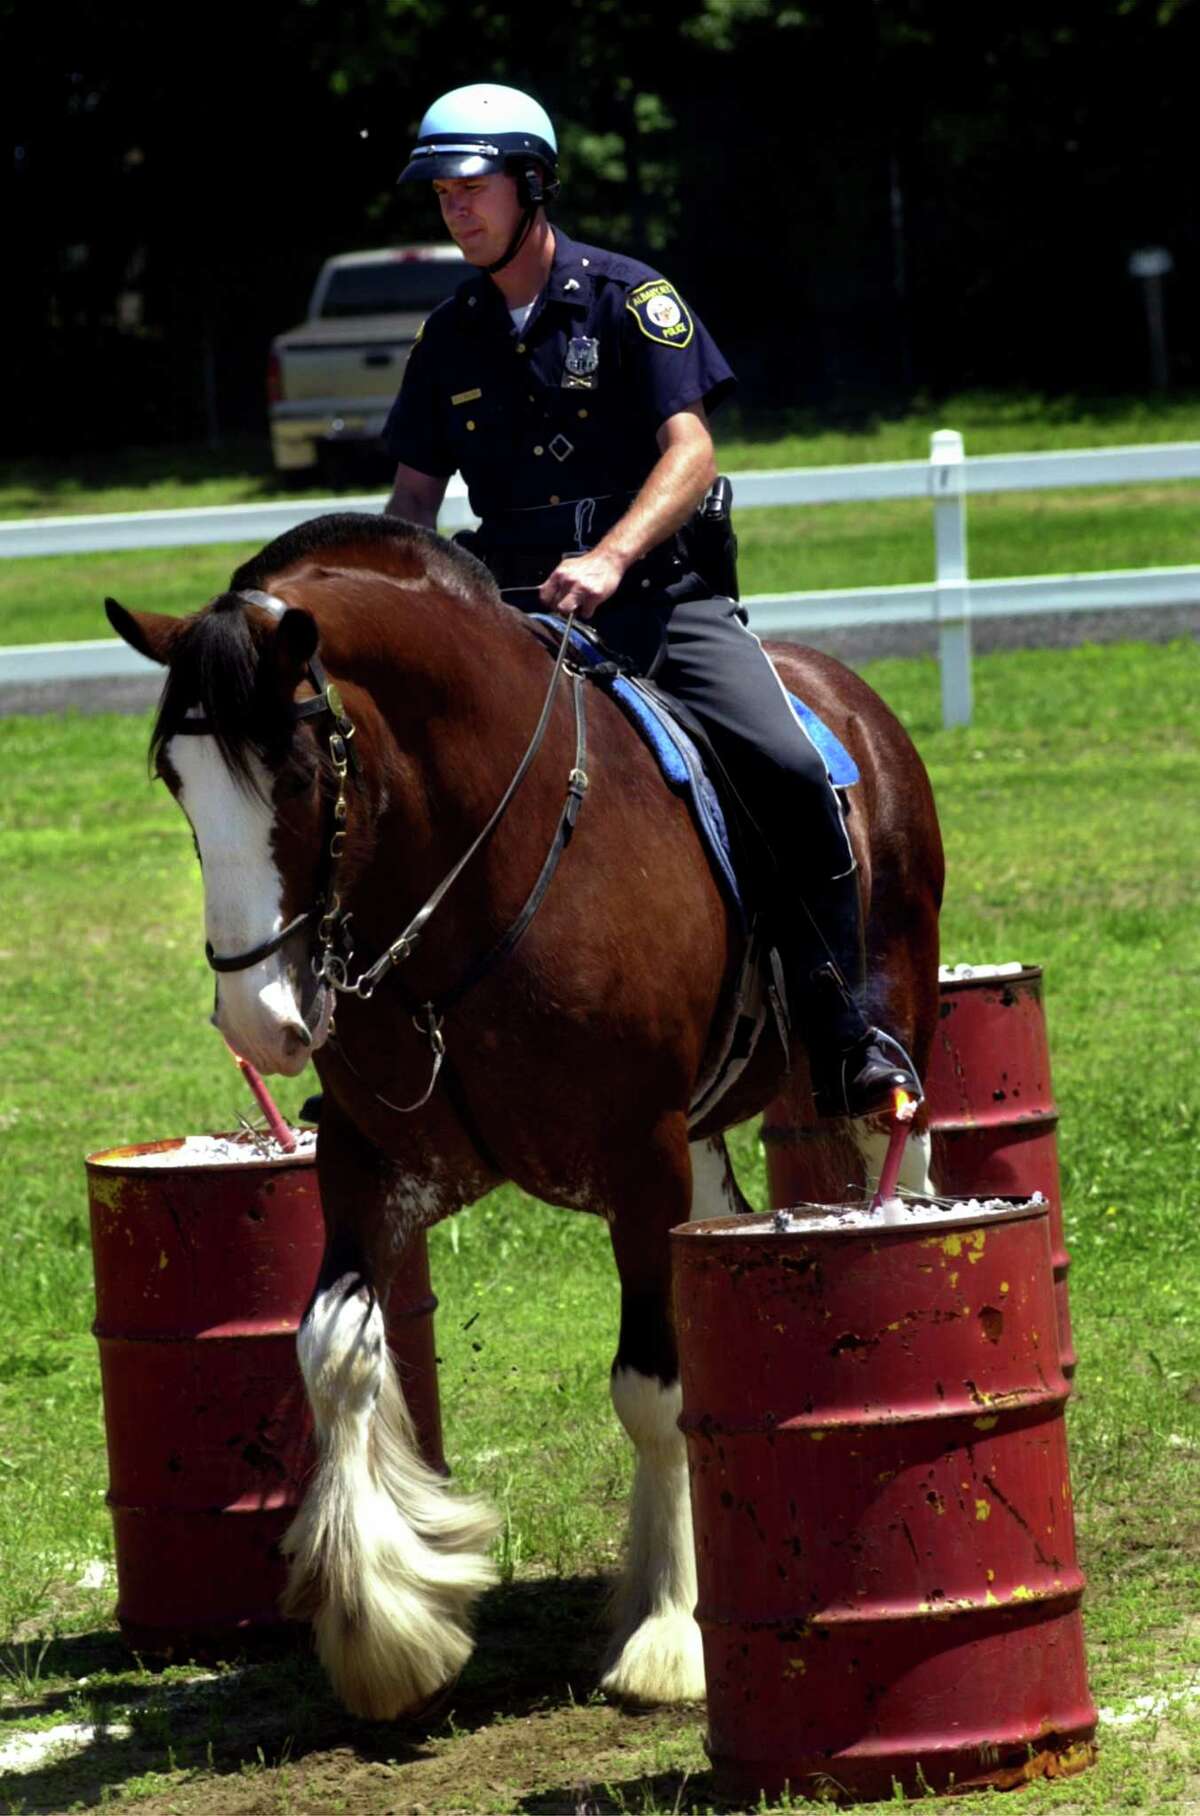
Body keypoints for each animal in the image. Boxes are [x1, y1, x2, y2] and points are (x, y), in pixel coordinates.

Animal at [106, 512, 944, 1721]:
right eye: (177, 778)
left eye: (301, 770)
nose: (257, 1018)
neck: (480, 878)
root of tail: (849, 701)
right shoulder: (373, 1162)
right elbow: (334, 1351)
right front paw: (387, 1628)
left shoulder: (638, 1164)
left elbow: (652, 1388)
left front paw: (670, 1631)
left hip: (889, 1036)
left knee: (902, 1160)